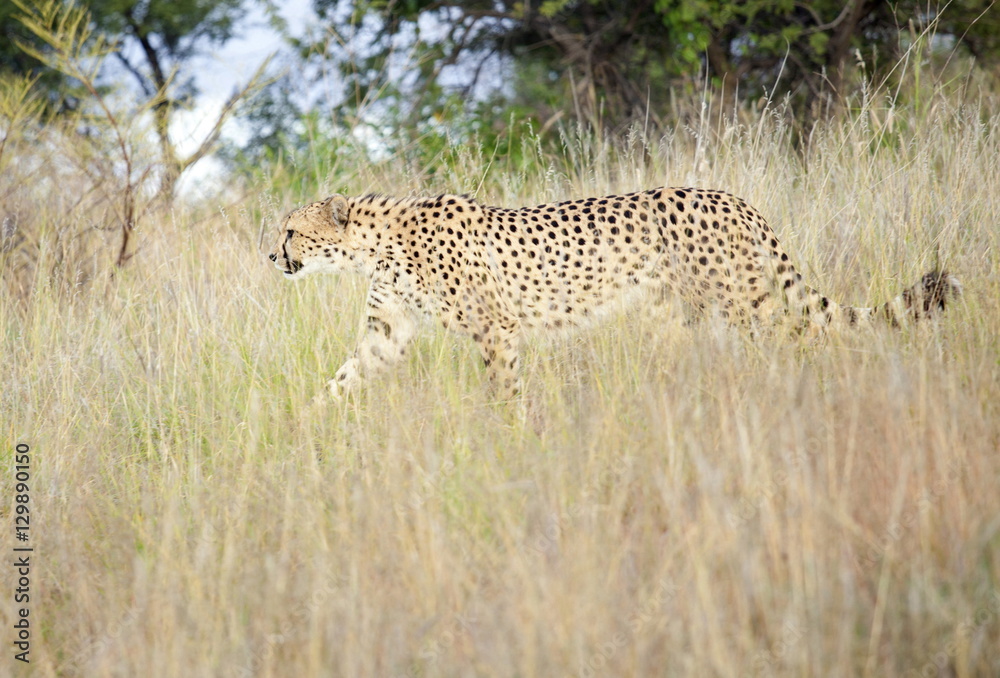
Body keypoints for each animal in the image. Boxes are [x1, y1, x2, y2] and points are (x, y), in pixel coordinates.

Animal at [268, 188, 960, 400]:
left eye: (291, 230)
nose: (271, 256)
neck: (376, 241)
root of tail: (731, 196)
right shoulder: (387, 333)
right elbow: (343, 377)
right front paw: (307, 426)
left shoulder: (496, 330)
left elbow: (505, 390)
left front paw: (510, 439)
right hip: (675, 317)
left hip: (747, 304)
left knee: (806, 338)